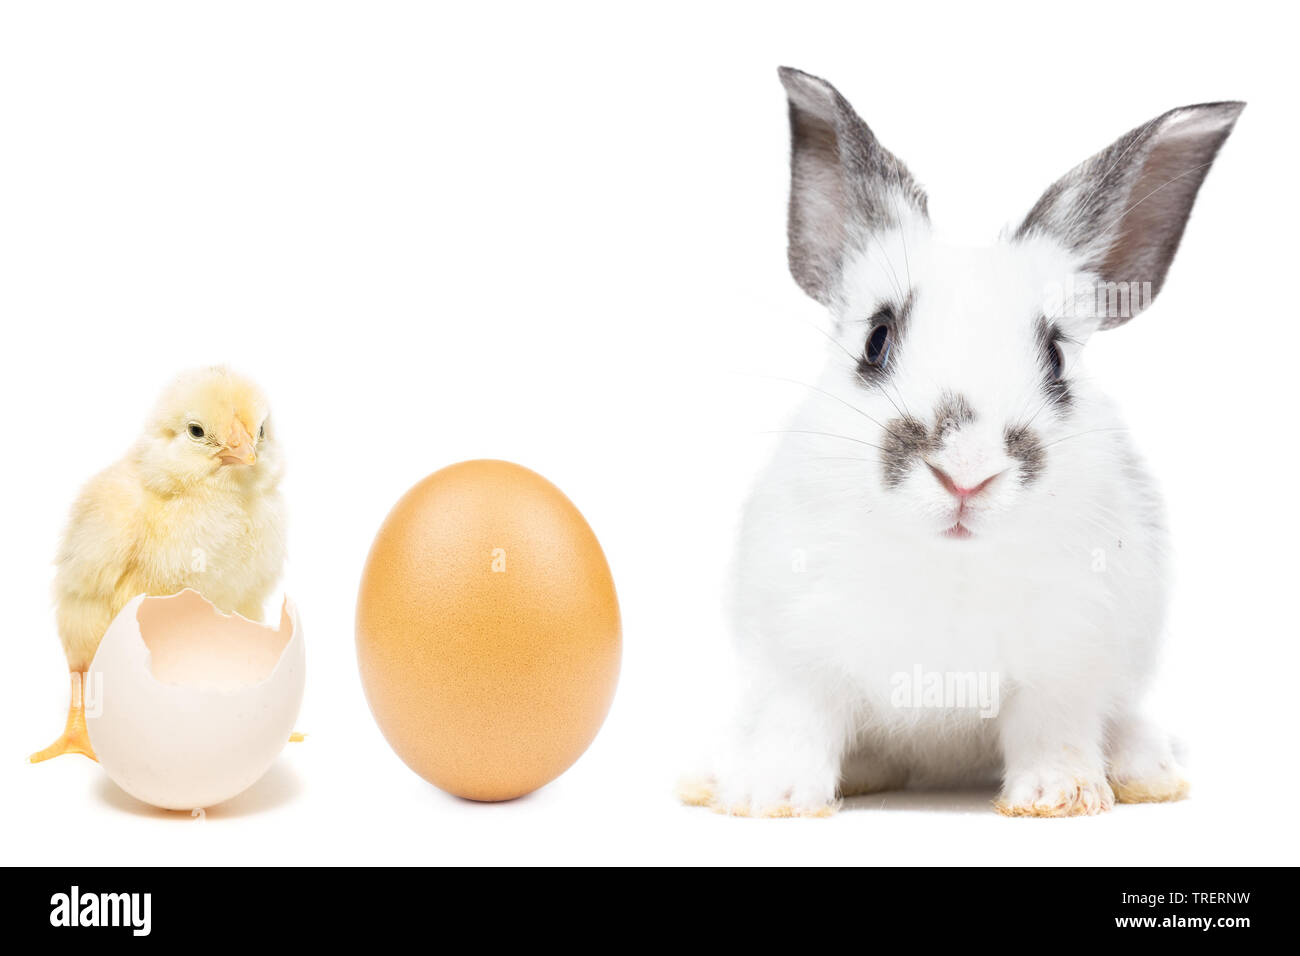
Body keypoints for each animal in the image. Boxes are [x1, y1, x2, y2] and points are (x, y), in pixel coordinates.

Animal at [680, 68, 1243, 818]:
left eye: (1056, 359)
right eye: (876, 339)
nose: (967, 472)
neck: (950, 564)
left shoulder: (1068, 664)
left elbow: (1054, 729)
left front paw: (1059, 795)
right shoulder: (797, 658)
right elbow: (797, 724)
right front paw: (772, 796)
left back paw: (1146, 775)